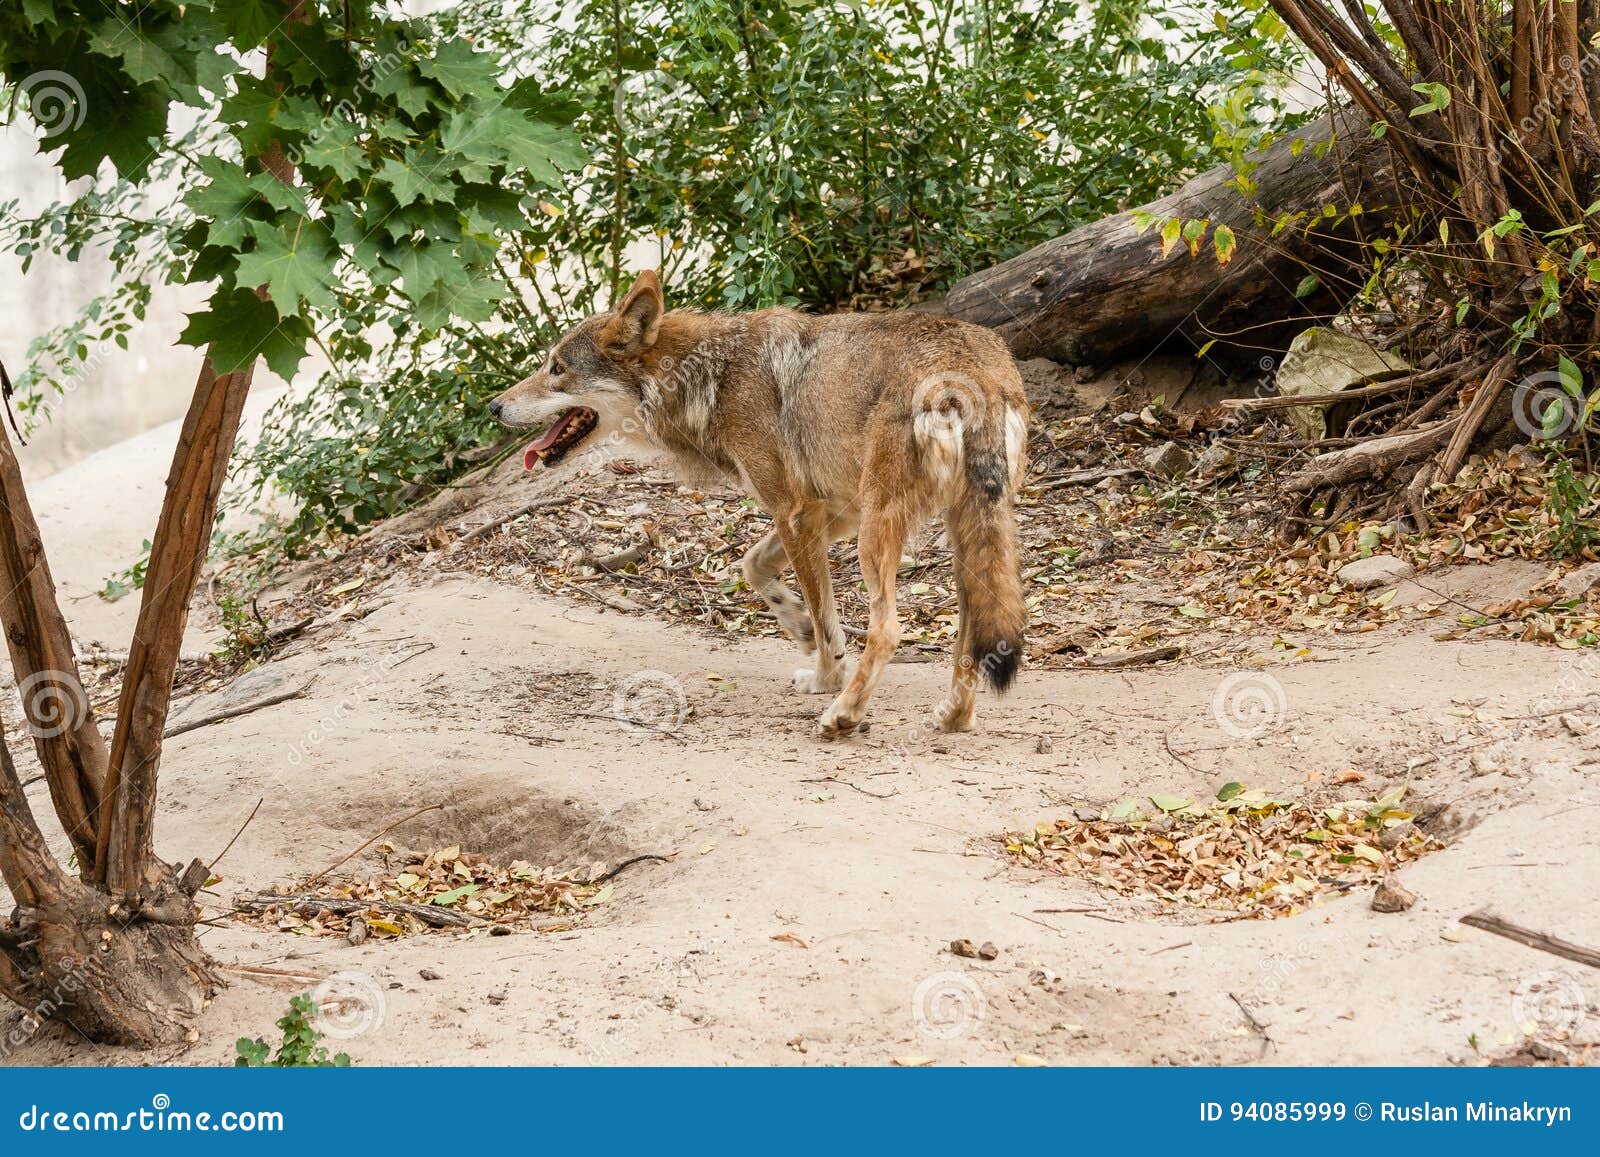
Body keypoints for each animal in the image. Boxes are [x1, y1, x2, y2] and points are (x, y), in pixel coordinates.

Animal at [490, 270, 1029, 739]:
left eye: (557, 369)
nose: (493, 407)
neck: (709, 377)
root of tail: (975, 376)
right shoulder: (828, 510)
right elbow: (753, 567)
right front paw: (796, 625)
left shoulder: (796, 513)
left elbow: (826, 620)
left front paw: (825, 678)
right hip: (960, 534)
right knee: (972, 633)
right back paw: (954, 717)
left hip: (877, 539)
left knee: (888, 630)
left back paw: (844, 716)